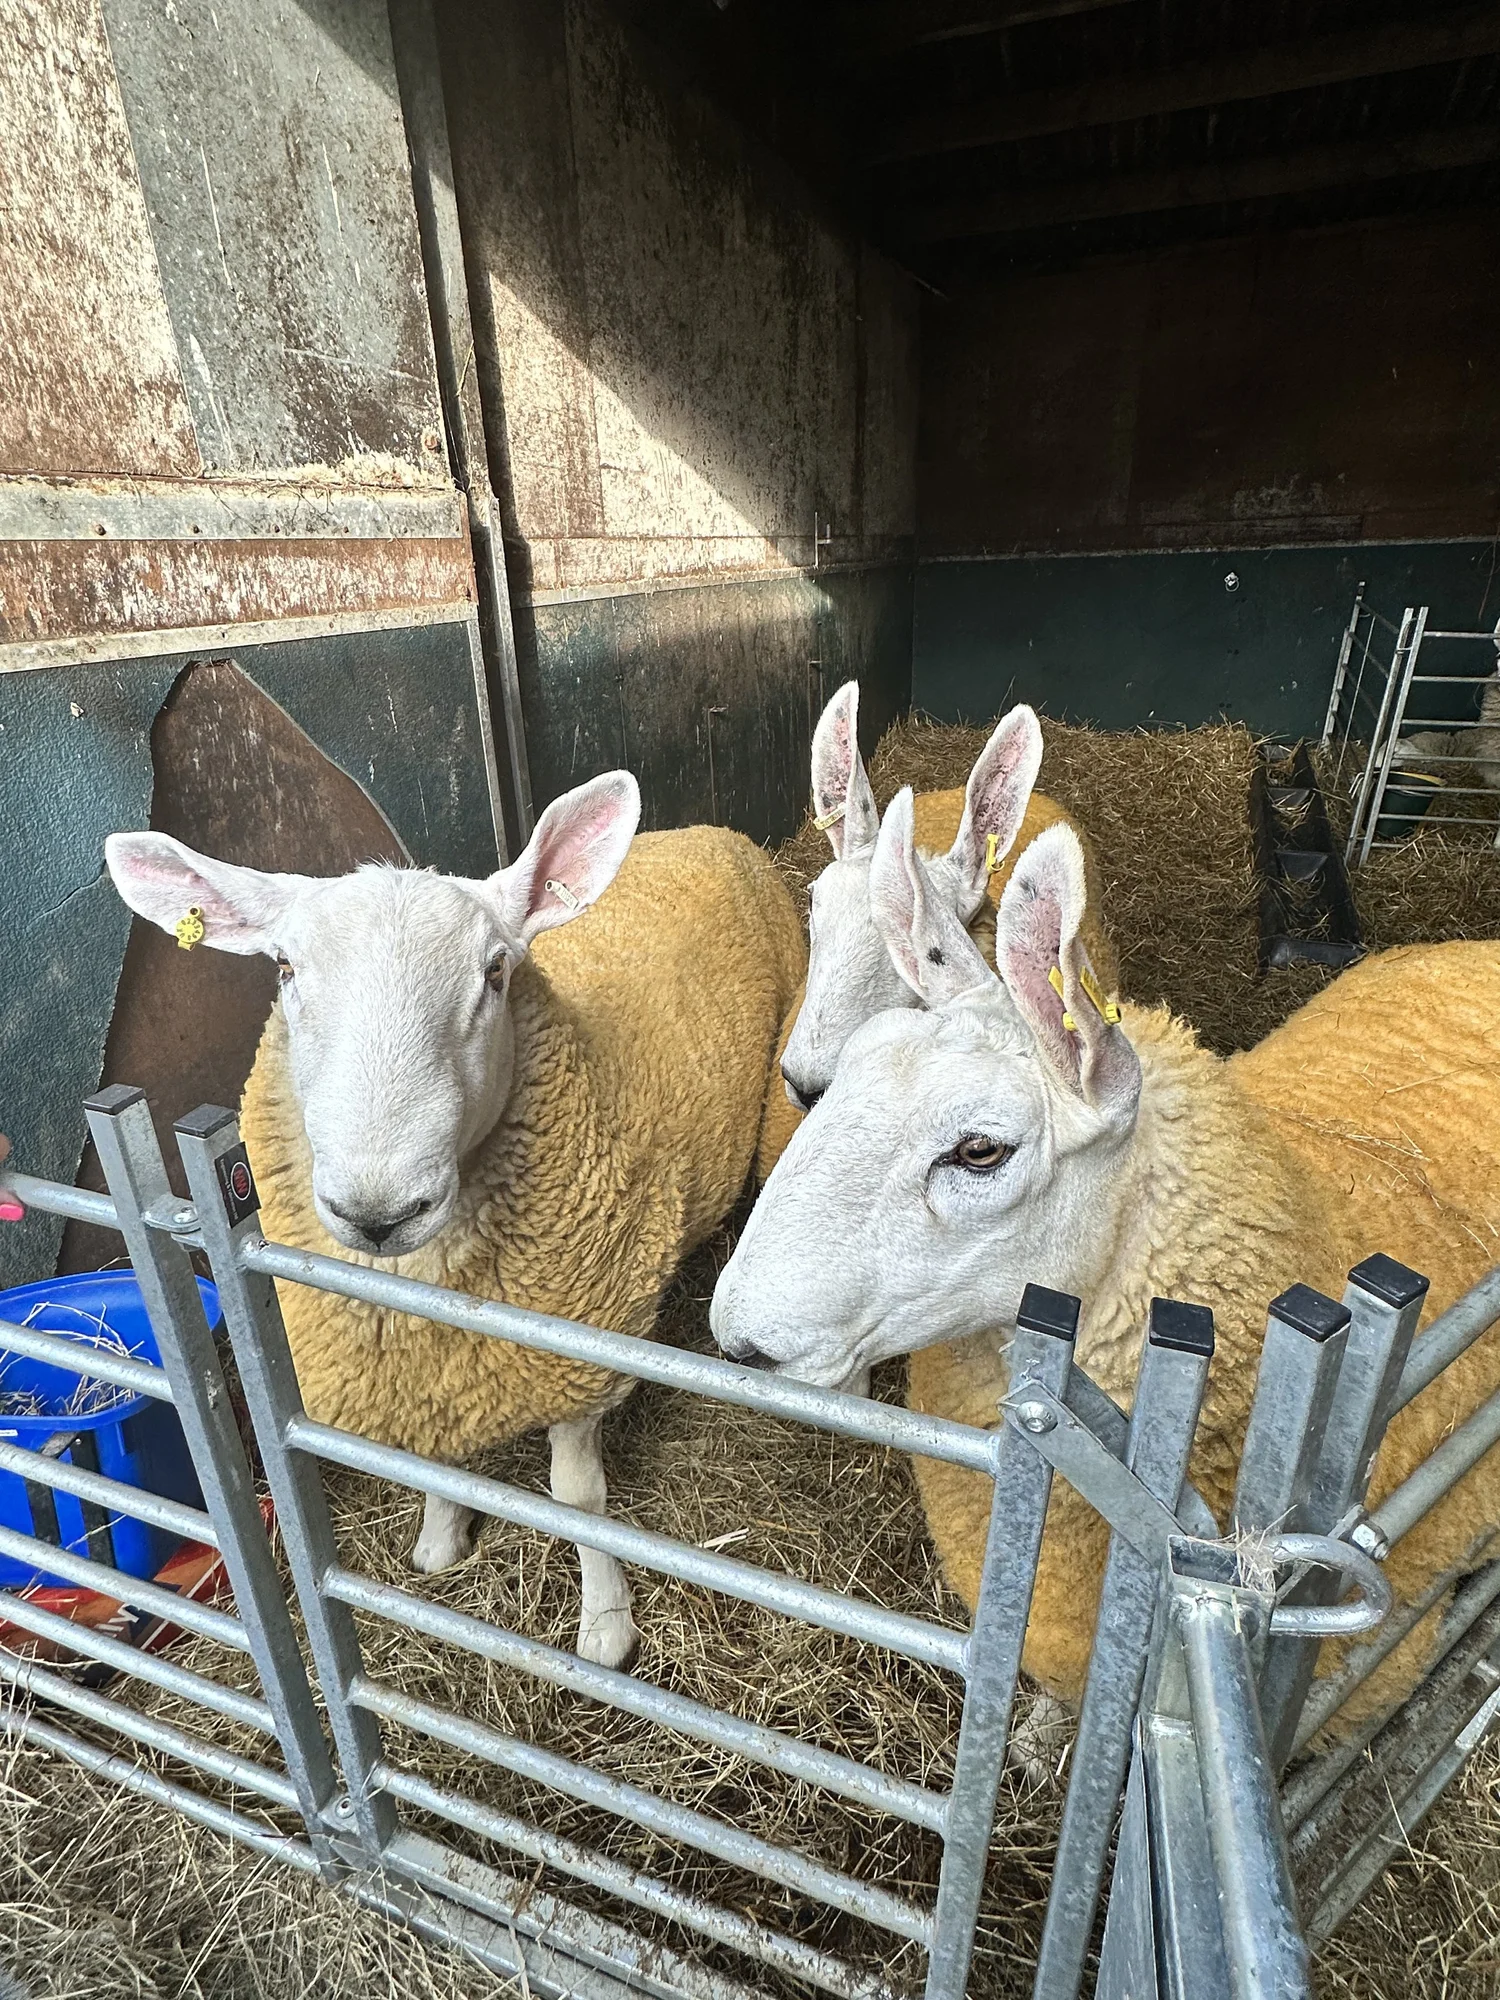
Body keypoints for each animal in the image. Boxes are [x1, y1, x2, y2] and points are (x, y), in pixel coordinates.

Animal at [106, 772, 806, 1666]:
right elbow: (431, 1463)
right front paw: (440, 1543)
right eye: (285, 968)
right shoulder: (416, 1372)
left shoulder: (581, 1351)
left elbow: (578, 1499)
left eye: (497, 972)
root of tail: (698, 830)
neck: (426, 1302)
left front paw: (606, 1626)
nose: (378, 1211)